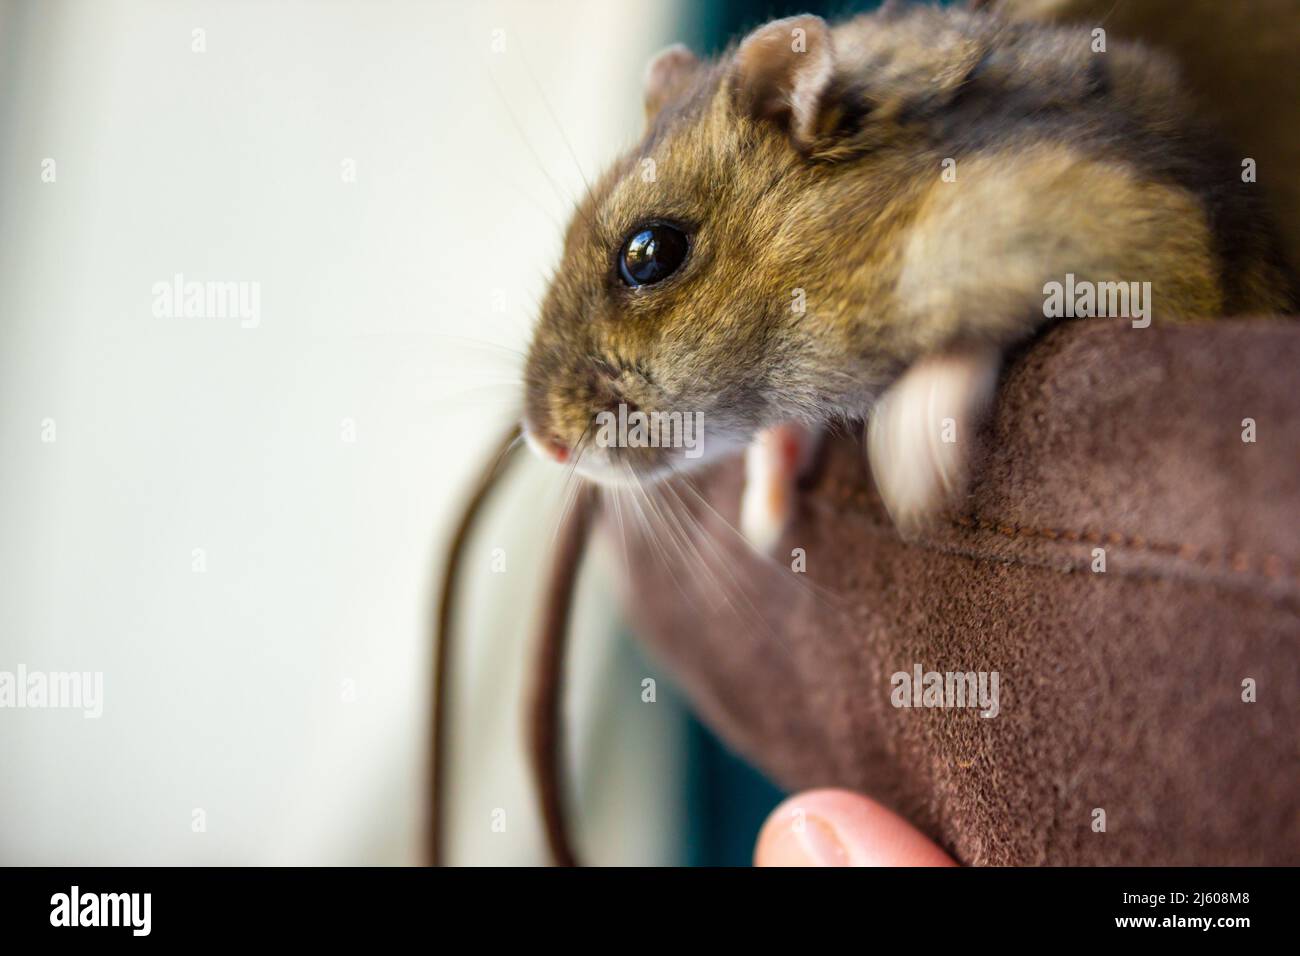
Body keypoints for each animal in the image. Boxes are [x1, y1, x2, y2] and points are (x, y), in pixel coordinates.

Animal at [520, 4, 1294, 544]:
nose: (544, 444)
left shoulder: (1140, 241)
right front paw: (766, 521)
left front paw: (911, 473)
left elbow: (977, 333)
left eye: (650, 253)